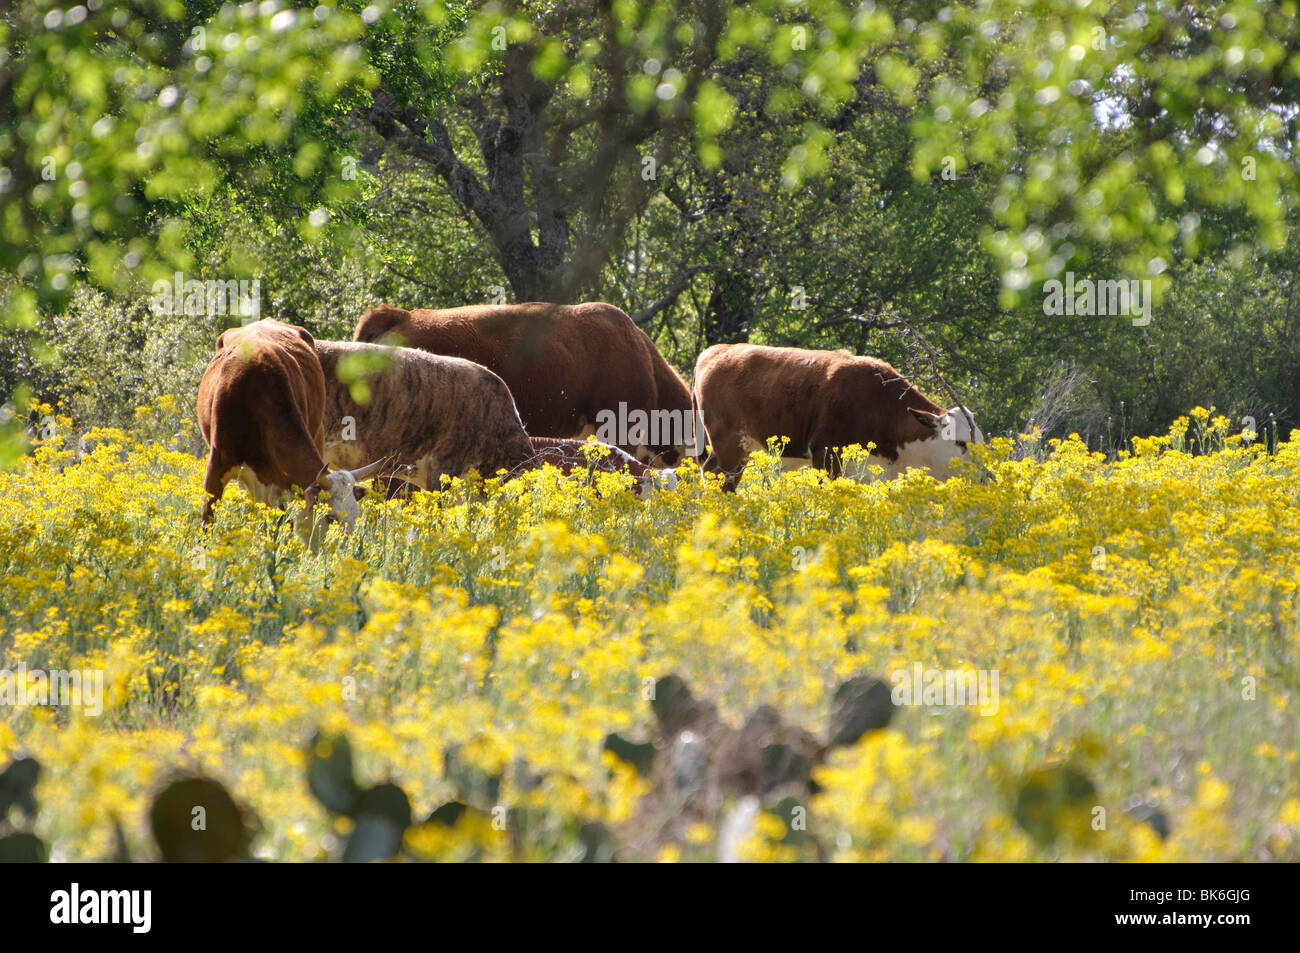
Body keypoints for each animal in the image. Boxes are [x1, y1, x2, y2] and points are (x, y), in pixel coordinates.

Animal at [691, 343, 983, 490]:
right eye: (960, 442)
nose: (981, 476)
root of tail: (713, 351)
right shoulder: (826, 455)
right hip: (729, 445)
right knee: (720, 477)